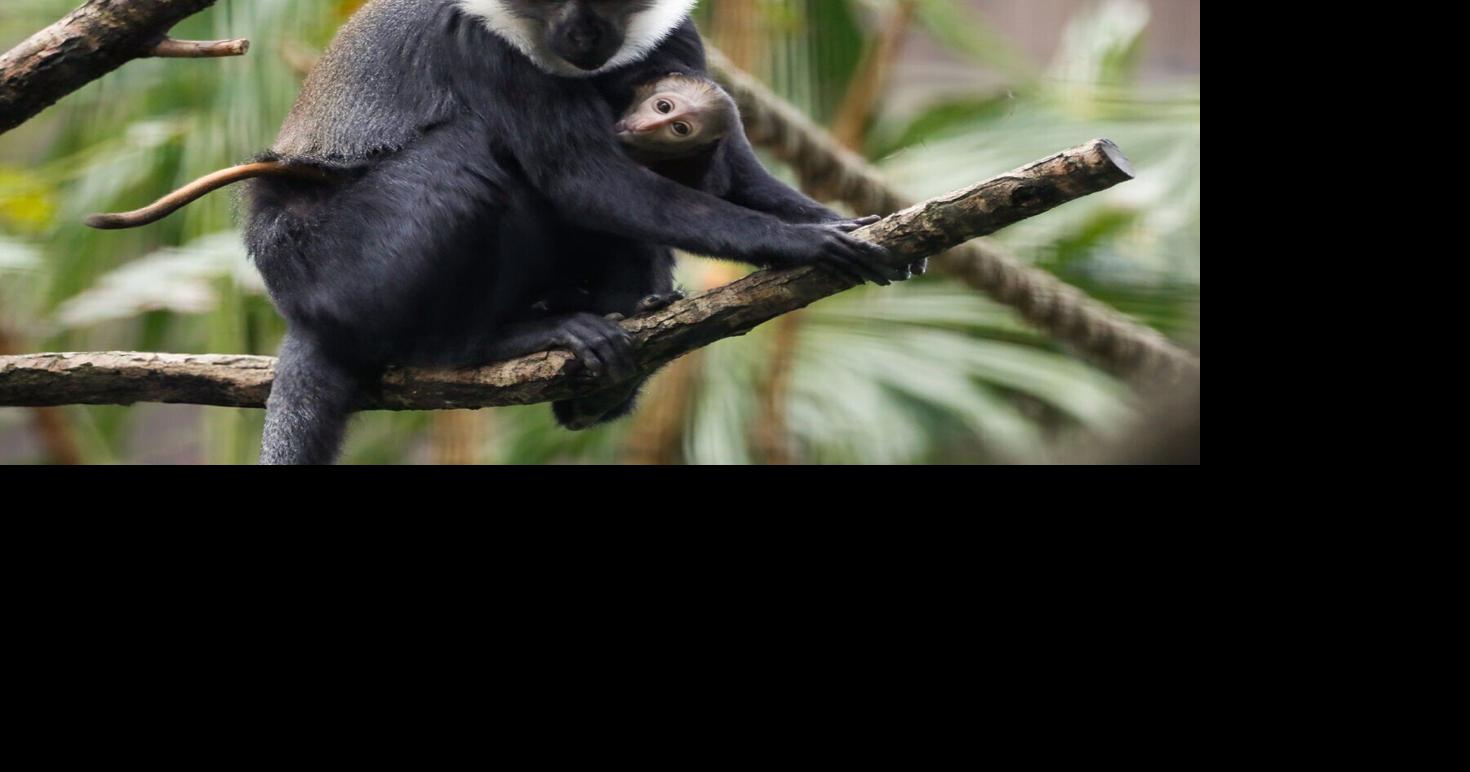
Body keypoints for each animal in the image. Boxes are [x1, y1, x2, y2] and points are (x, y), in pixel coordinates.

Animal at [115, 1, 923, 463]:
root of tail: (303, 315)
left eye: (674, 114)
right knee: (469, 157)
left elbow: (728, 174)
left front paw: (826, 218)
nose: (649, 124)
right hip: (332, 264)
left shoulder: (678, 40)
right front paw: (800, 243)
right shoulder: (483, 42)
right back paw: (486, 344)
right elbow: (579, 177)